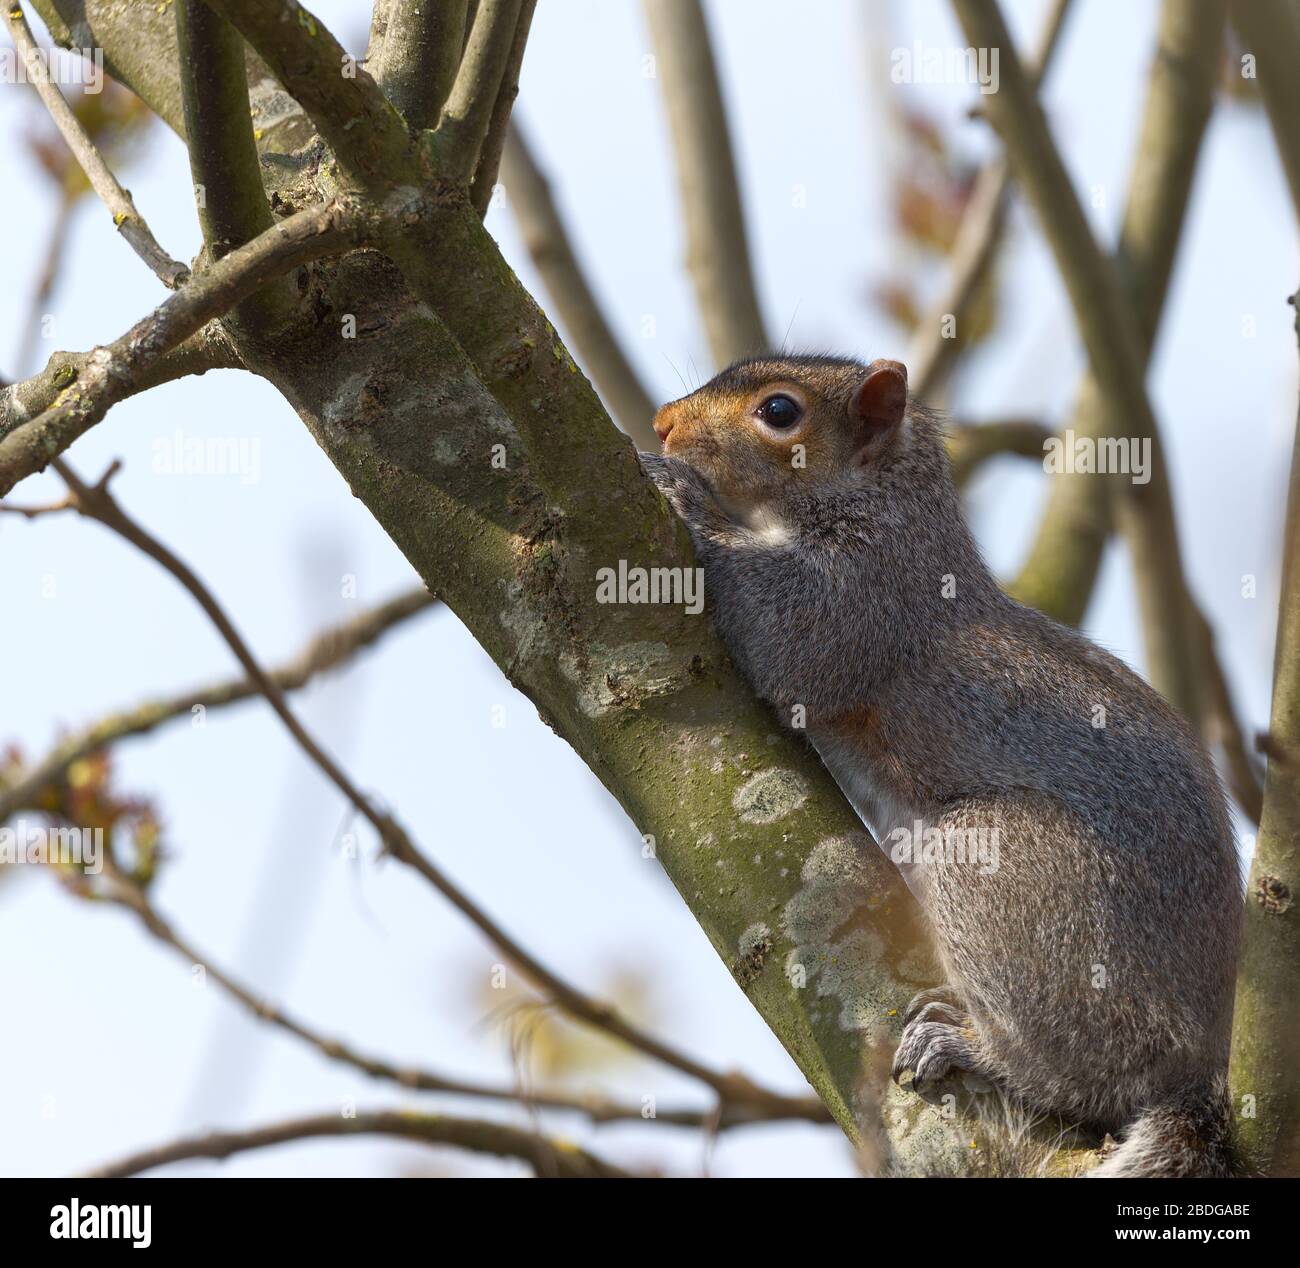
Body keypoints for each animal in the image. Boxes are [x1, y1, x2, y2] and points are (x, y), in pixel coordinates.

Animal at [639, 353, 1243, 1178]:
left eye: (780, 411)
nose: (664, 423)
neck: (887, 508)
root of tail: (1194, 1063)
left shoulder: (867, 600)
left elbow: (786, 633)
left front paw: (680, 490)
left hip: (1009, 878)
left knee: (1086, 1074)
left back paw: (983, 1051)